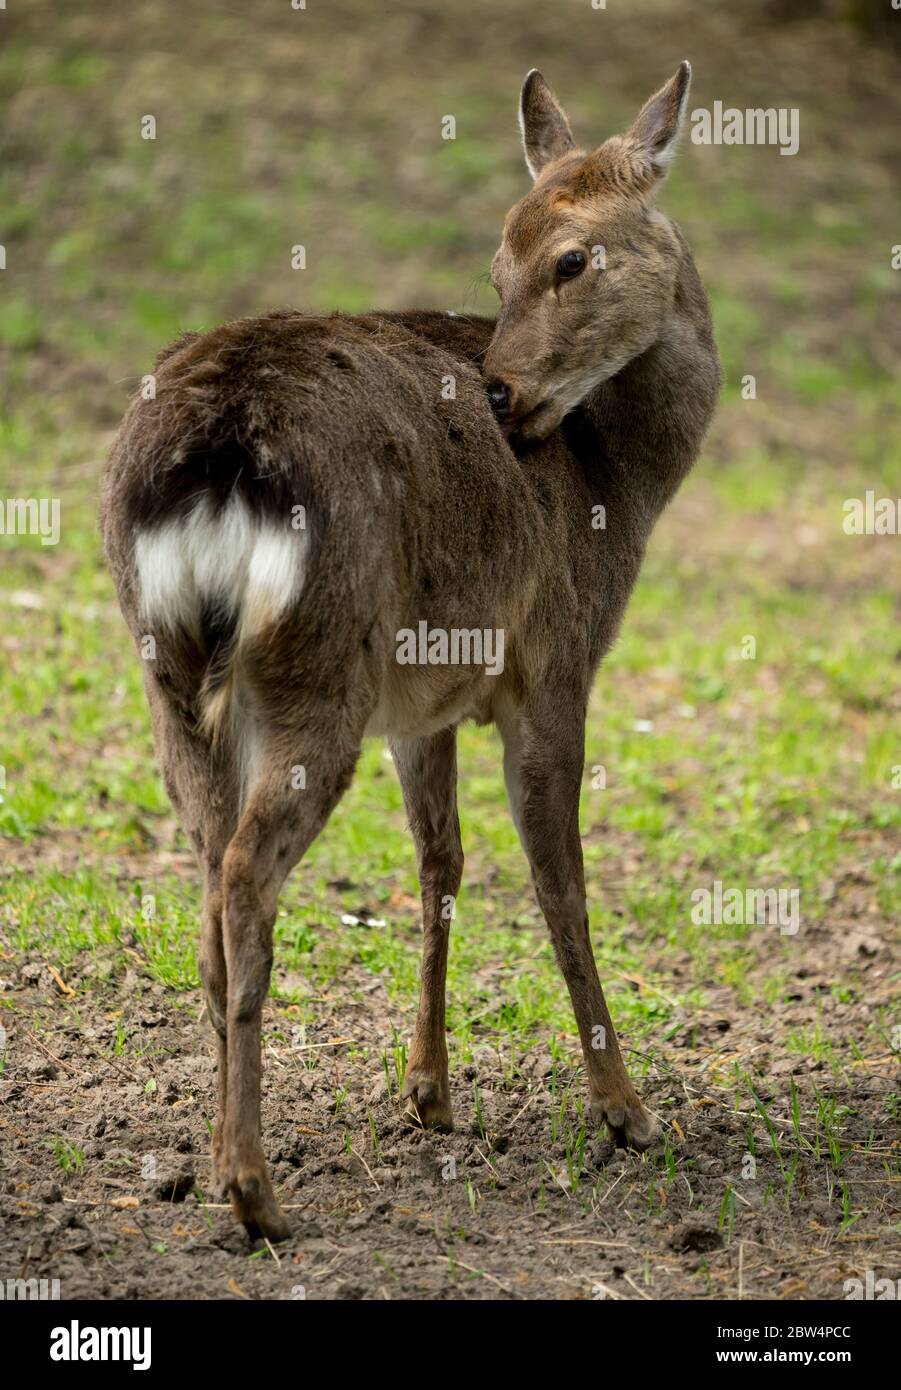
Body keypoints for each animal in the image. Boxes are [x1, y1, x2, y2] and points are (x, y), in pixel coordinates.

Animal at [101, 62, 720, 1241]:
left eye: (568, 258)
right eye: (501, 262)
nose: (499, 392)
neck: (614, 482)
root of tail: (211, 457)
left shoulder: (423, 700)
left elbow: (441, 862)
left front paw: (428, 1090)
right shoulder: (555, 657)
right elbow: (558, 876)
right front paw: (626, 1110)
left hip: (169, 671)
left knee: (205, 881)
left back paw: (223, 1159)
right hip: (319, 662)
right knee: (244, 874)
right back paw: (255, 1194)